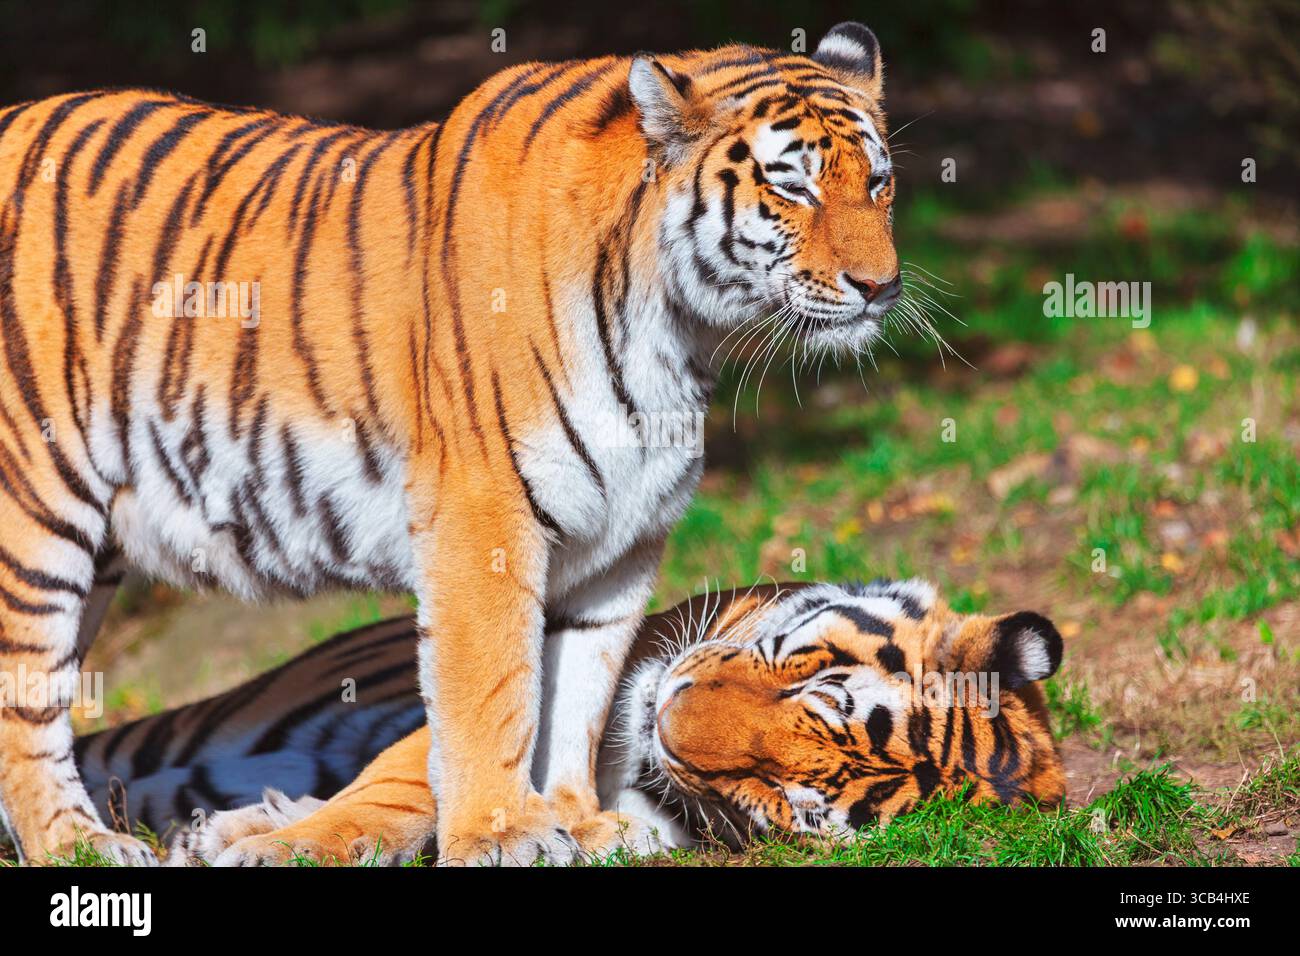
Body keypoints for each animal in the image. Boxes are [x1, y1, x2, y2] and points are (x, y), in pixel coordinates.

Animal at [0, 22, 903, 865]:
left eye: (878, 181)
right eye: (793, 186)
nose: (882, 287)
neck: (679, 333)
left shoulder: (621, 542)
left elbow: (579, 692)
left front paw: (580, 822)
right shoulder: (483, 515)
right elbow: (496, 690)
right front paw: (503, 832)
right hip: (36, 514)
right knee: (26, 703)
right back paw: (80, 844)